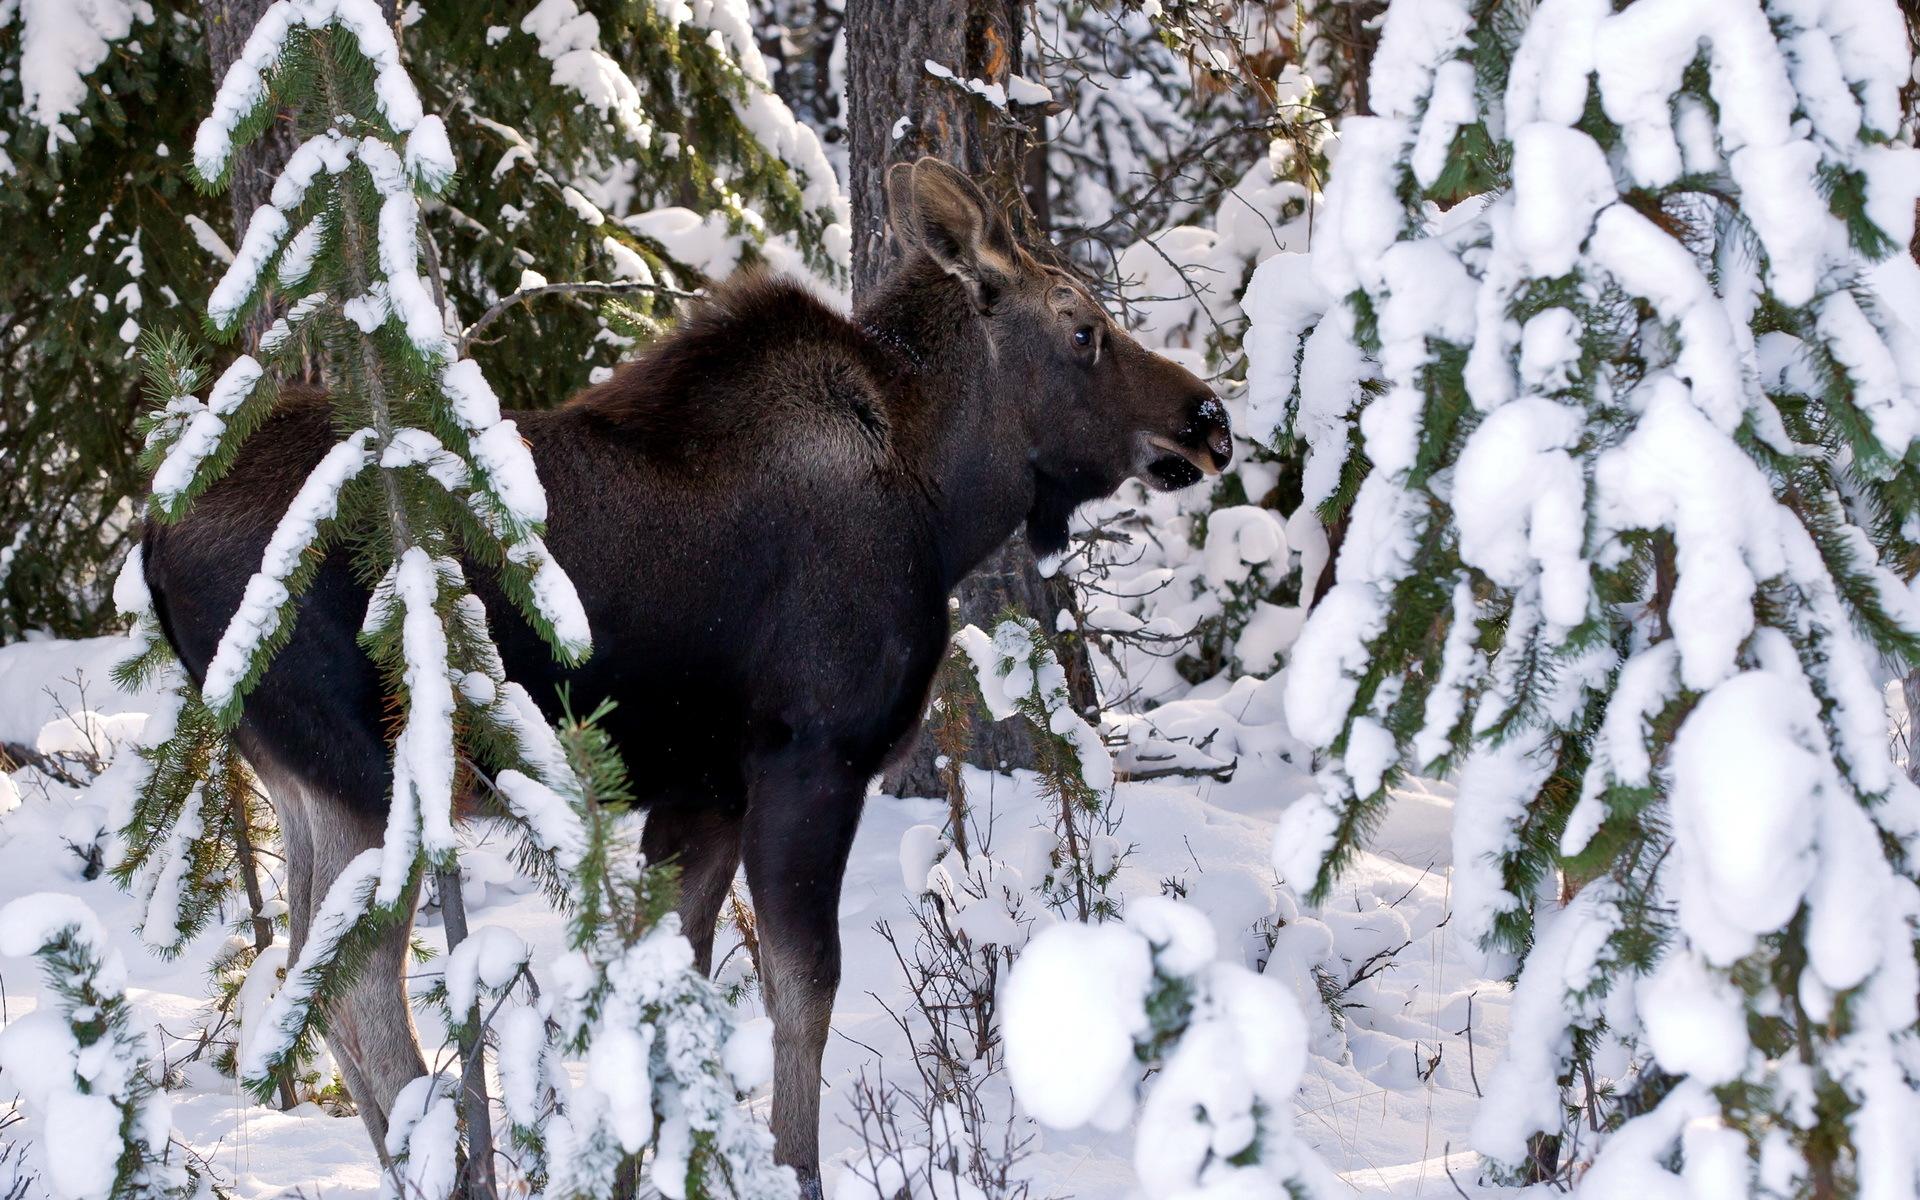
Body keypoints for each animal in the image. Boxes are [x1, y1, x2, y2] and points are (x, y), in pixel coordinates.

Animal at [143, 158, 1232, 1194]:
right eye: (1084, 328)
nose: (1209, 418)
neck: (944, 504)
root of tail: (151, 540)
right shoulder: (812, 760)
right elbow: (802, 990)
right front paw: (793, 1168)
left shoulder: (701, 796)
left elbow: (669, 992)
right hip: (372, 769)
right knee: (358, 989)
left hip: (299, 777)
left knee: (304, 979)